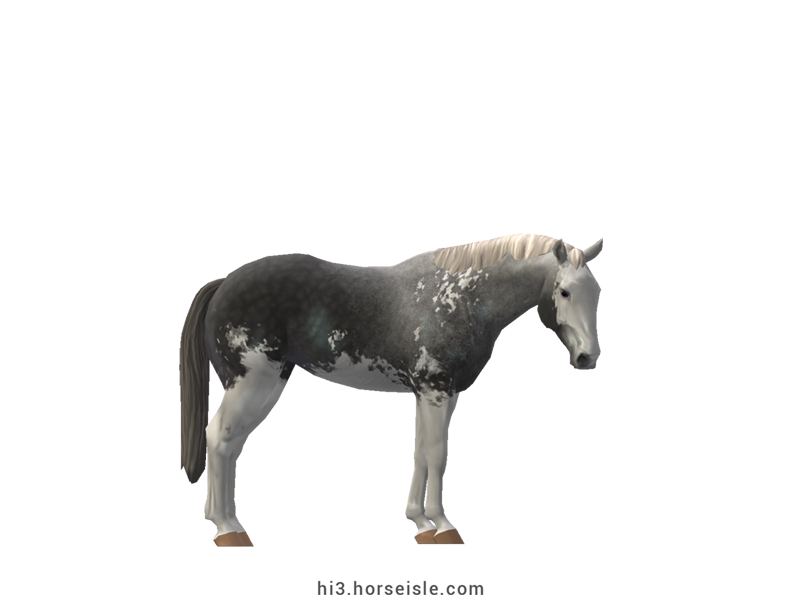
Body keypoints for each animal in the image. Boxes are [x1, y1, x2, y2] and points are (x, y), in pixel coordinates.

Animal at [180, 234, 602, 541]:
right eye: (564, 291)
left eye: (594, 291)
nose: (587, 357)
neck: (463, 295)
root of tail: (224, 284)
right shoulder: (434, 390)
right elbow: (436, 454)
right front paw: (441, 522)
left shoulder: (431, 395)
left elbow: (419, 453)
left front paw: (417, 520)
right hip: (250, 384)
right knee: (217, 438)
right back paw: (223, 527)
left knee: (225, 444)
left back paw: (227, 520)